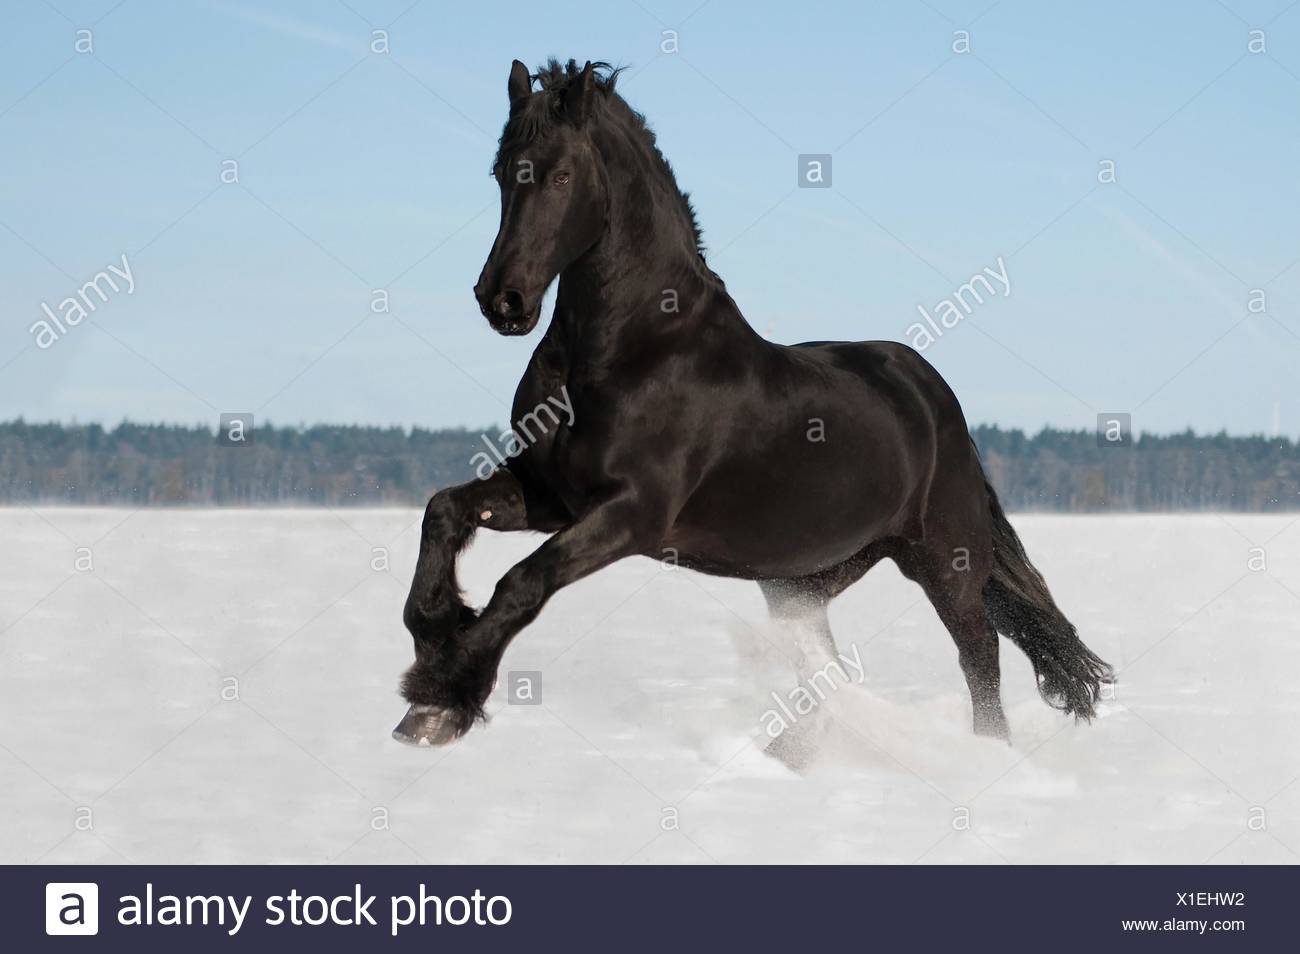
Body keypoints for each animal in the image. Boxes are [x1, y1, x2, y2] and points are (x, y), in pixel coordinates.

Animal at [392, 58, 1112, 752]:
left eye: (562, 174)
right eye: (501, 173)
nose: (502, 300)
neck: (633, 347)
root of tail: (936, 398)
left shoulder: (631, 513)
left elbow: (524, 581)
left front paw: (441, 701)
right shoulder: (550, 496)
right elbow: (444, 509)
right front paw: (432, 639)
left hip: (944, 561)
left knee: (979, 657)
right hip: (803, 578)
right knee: (827, 670)